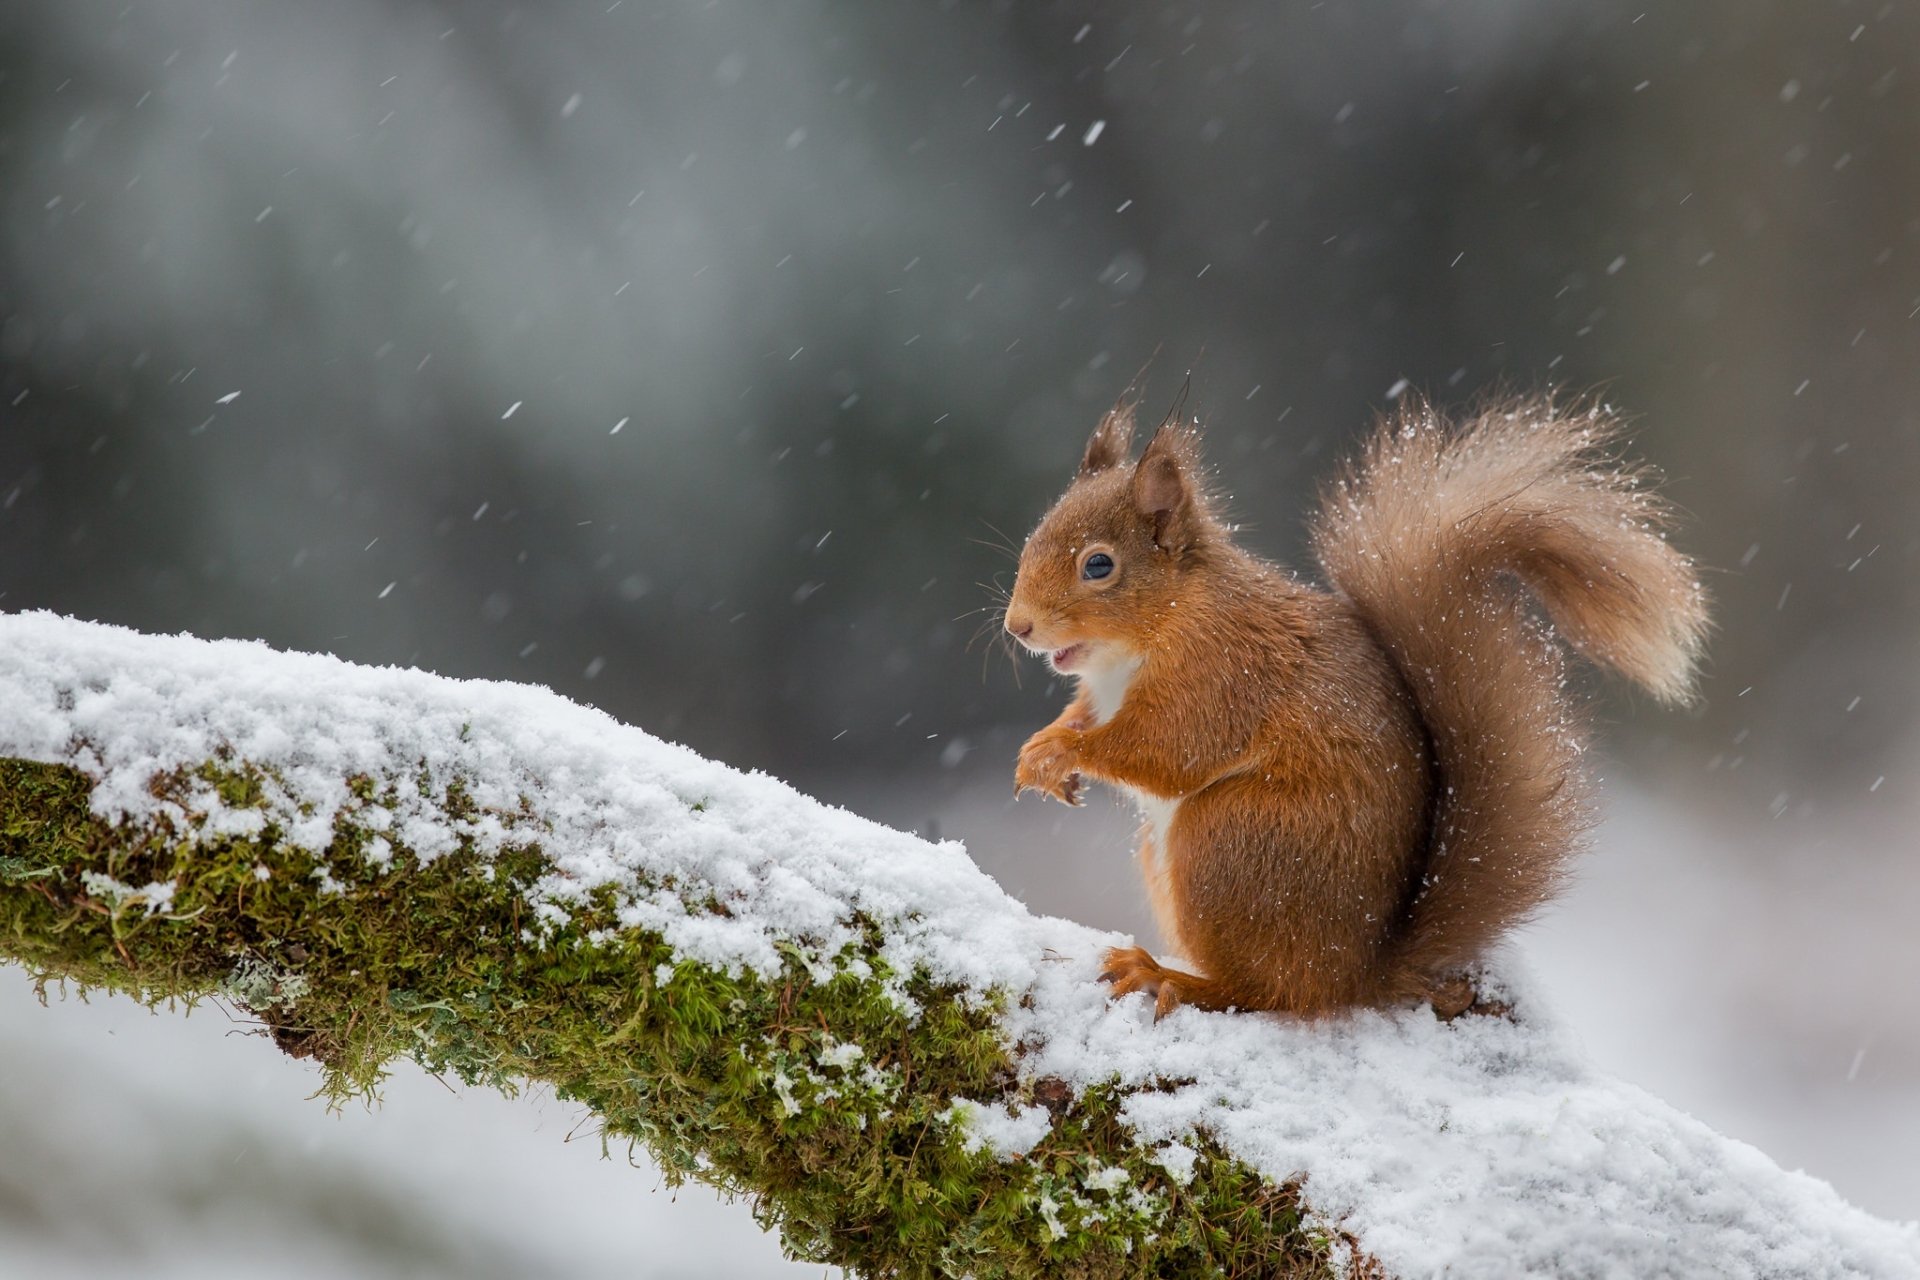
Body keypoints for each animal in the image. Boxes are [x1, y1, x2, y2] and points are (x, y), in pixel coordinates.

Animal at [1004, 391, 1708, 1019]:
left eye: (1099, 566)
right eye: (1032, 538)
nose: (1017, 627)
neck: (1151, 631)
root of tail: (1359, 970)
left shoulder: (1222, 673)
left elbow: (1167, 750)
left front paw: (1062, 752)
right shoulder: (1106, 690)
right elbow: (1086, 716)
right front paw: (1043, 754)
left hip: (1230, 844)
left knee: (1271, 993)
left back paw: (1166, 976)